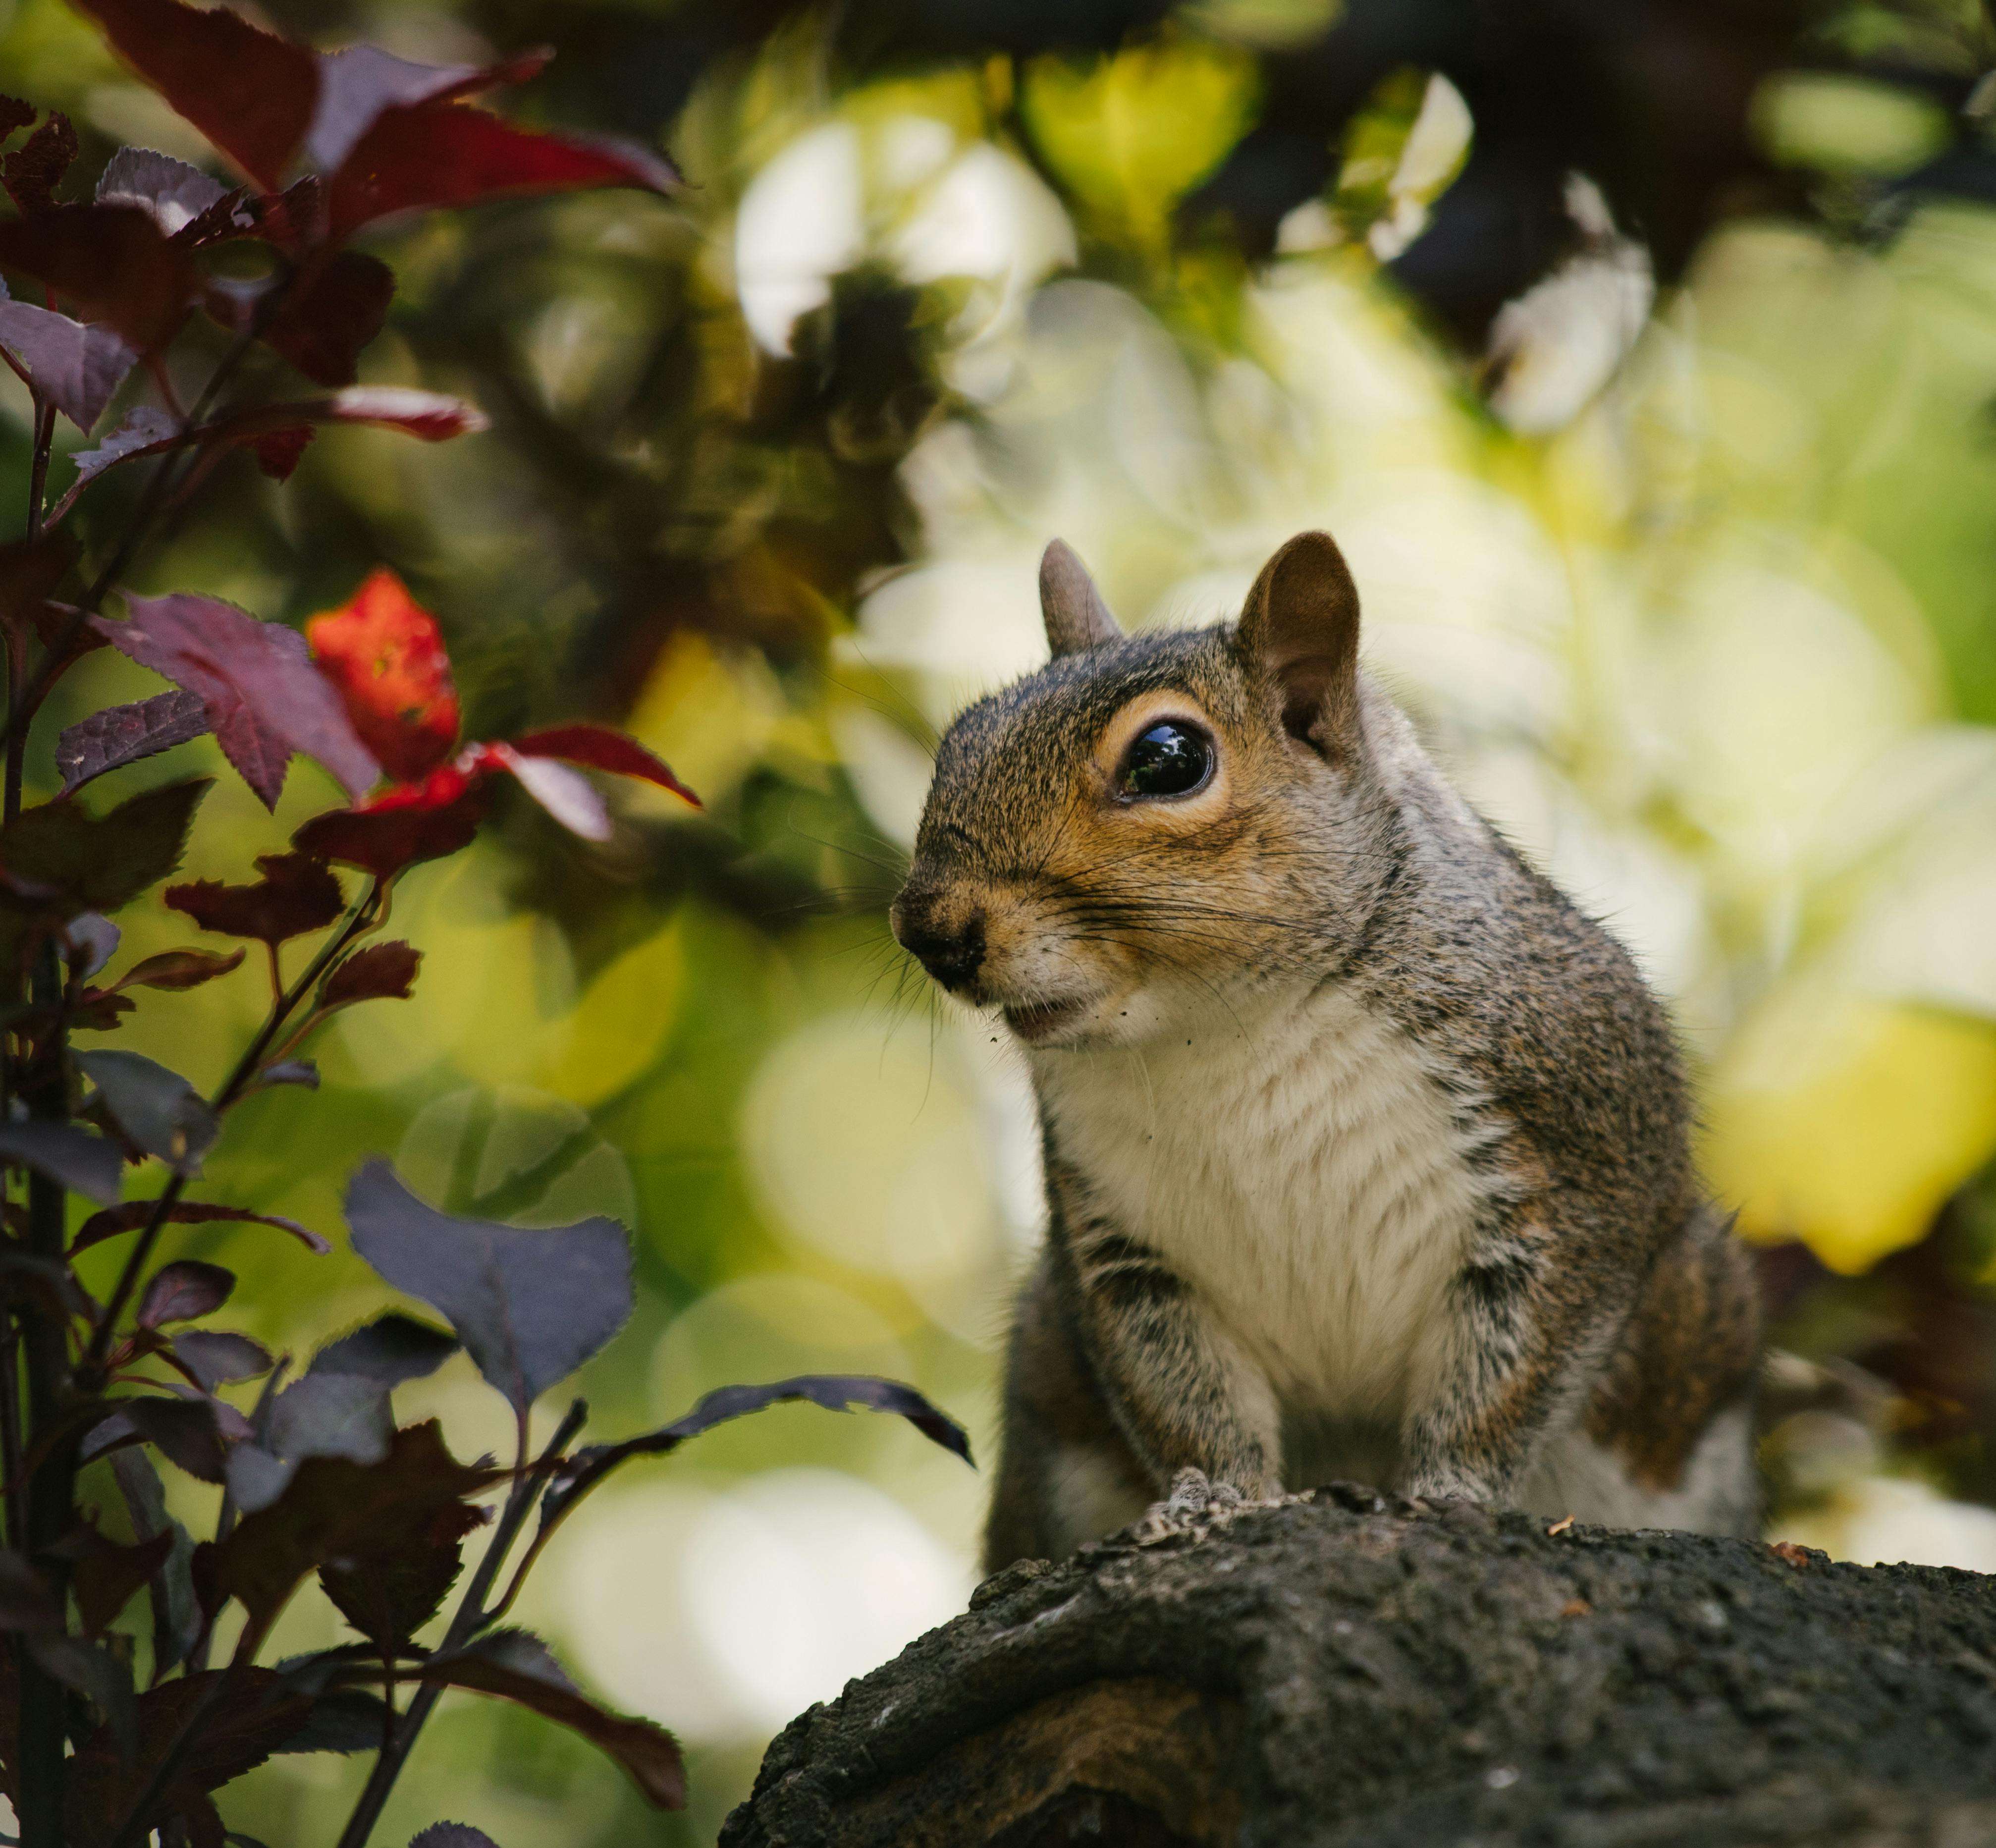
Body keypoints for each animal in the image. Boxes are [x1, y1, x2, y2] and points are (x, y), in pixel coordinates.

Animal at [891, 530, 1763, 1571]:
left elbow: (1510, 1377)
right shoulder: (1124, 1254)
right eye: (958, 738)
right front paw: (1212, 1500)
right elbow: (1184, 1401)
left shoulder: (1573, 1169)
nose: (928, 929)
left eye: (1167, 759)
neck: (1223, 1030)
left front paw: (1448, 1491)